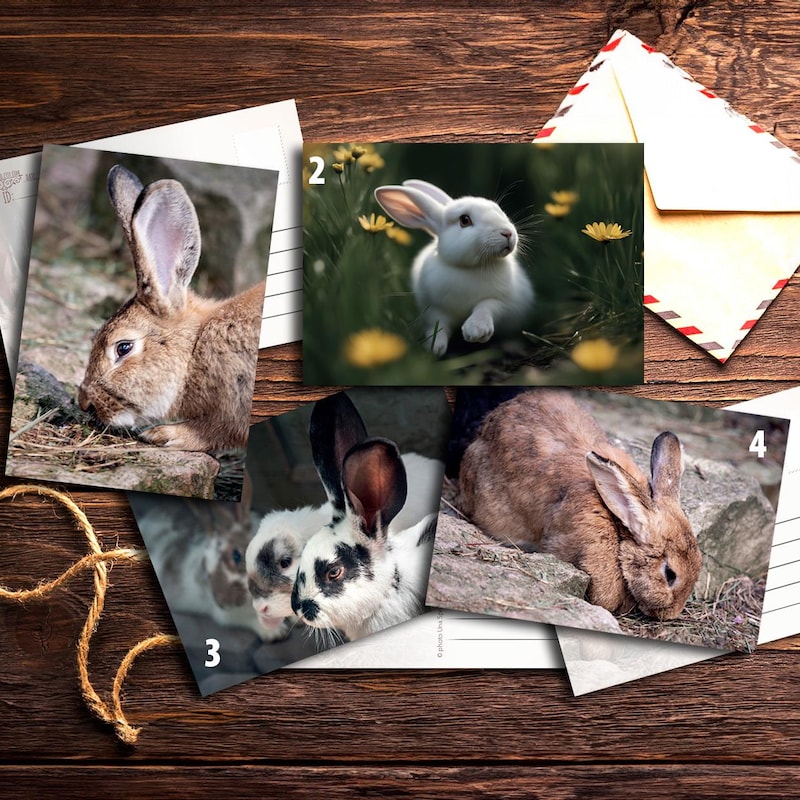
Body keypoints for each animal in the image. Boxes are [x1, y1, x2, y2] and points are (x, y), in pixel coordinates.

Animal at [77, 164, 265, 453]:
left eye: (123, 347)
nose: (84, 403)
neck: (196, 348)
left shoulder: (233, 405)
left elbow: (213, 432)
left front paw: (164, 434)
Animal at [374, 179, 534, 356]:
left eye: (498, 209)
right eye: (464, 220)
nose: (507, 233)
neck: (469, 268)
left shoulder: (504, 302)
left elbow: (486, 306)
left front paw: (476, 331)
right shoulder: (435, 308)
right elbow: (439, 325)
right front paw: (434, 347)